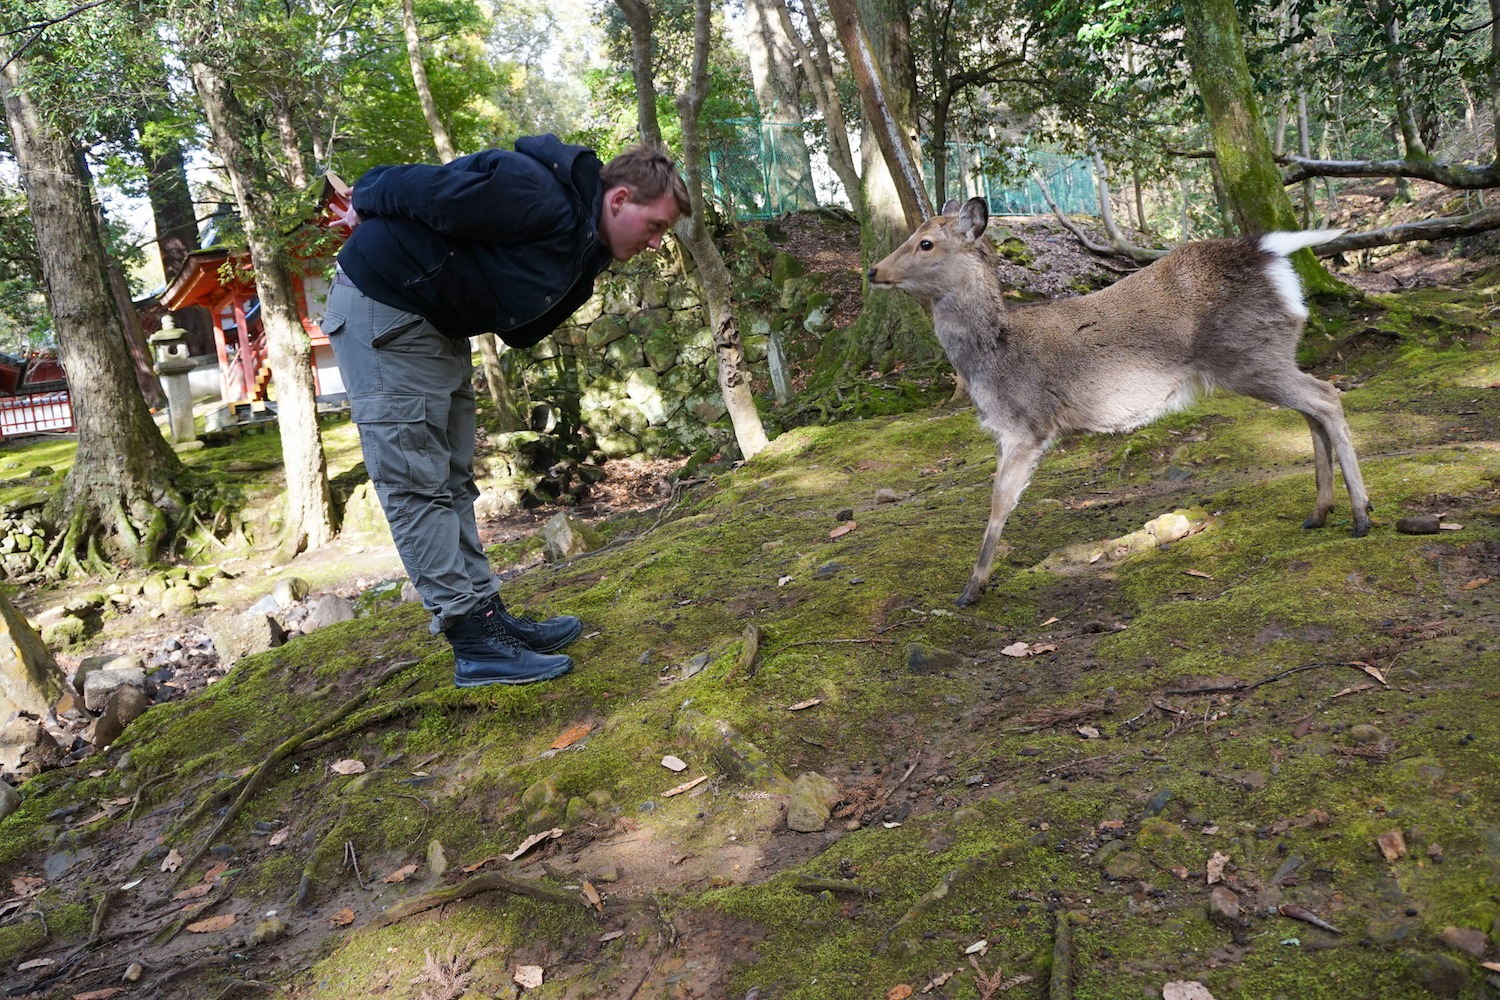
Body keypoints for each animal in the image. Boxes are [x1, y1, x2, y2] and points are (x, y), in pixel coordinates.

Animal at [868, 197, 1372, 607]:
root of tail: (1270, 251)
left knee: (1327, 397)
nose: (873, 270)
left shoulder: (1026, 425)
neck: (991, 357)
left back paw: (1361, 517)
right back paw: (1319, 513)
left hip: (1249, 356)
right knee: (1312, 409)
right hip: (1268, 355)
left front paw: (972, 589)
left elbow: (998, 503)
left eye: (926, 243)